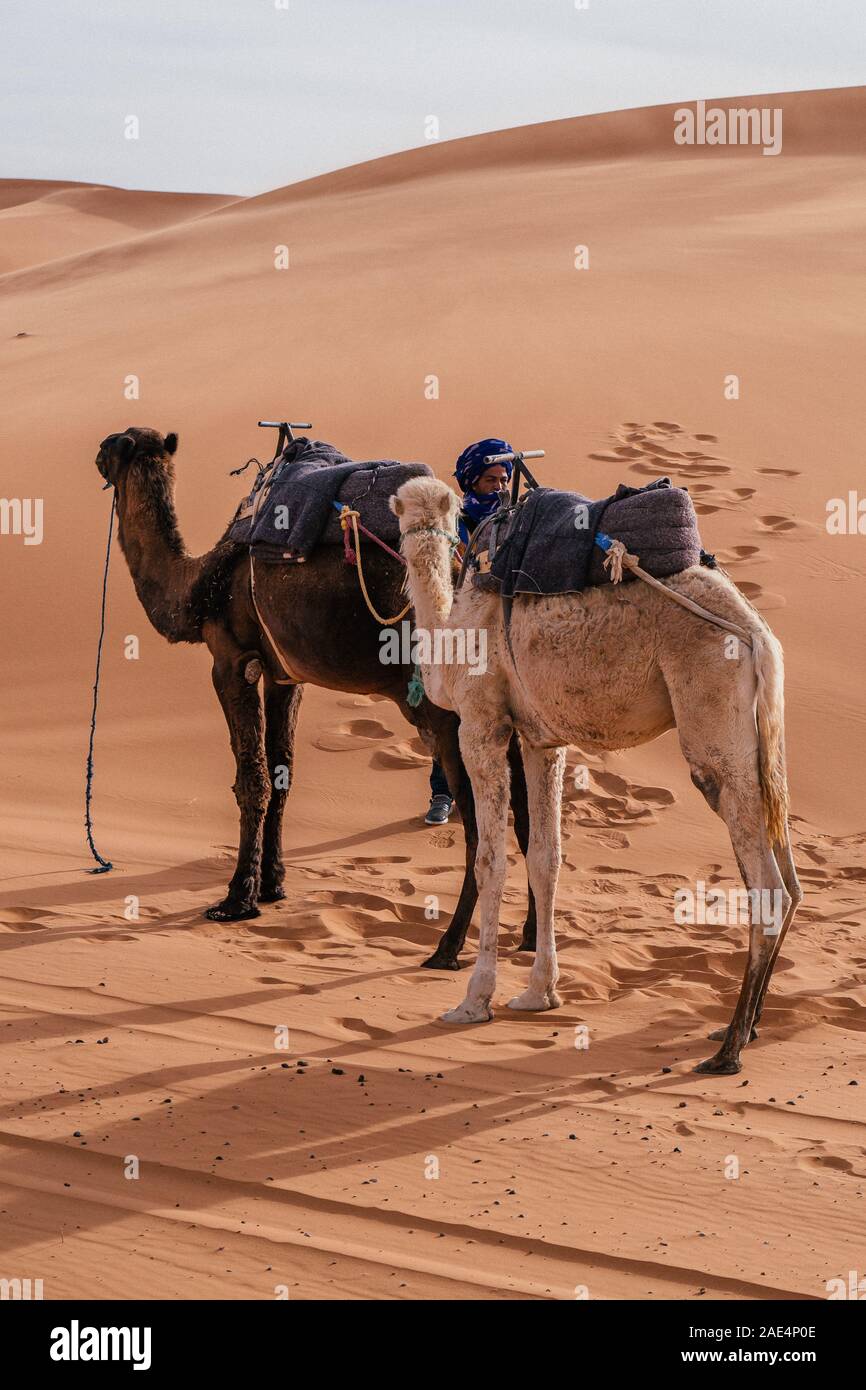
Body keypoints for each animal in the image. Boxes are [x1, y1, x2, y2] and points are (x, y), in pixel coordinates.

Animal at [93, 426, 535, 968]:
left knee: (480, 822)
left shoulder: (231, 662)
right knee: (528, 812)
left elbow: (252, 779)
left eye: (118, 443)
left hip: (445, 710)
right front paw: (272, 886)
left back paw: (447, 949)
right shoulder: (285, 675)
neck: (199, 586)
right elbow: (282, 773)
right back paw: (529, 938)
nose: (98, 452)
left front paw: (236, 900)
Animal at [391, 475, 802, 1074]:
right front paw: (539, 993)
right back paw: (745, 1030)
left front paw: (473, 1001)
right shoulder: (541, 738)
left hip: (714, 725)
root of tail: (758, 635)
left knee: (766, 882)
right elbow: (545, 857)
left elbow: (492, 860)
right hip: (762, 740)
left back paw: (726, 1050)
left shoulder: (483, 723)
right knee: (790, 879)